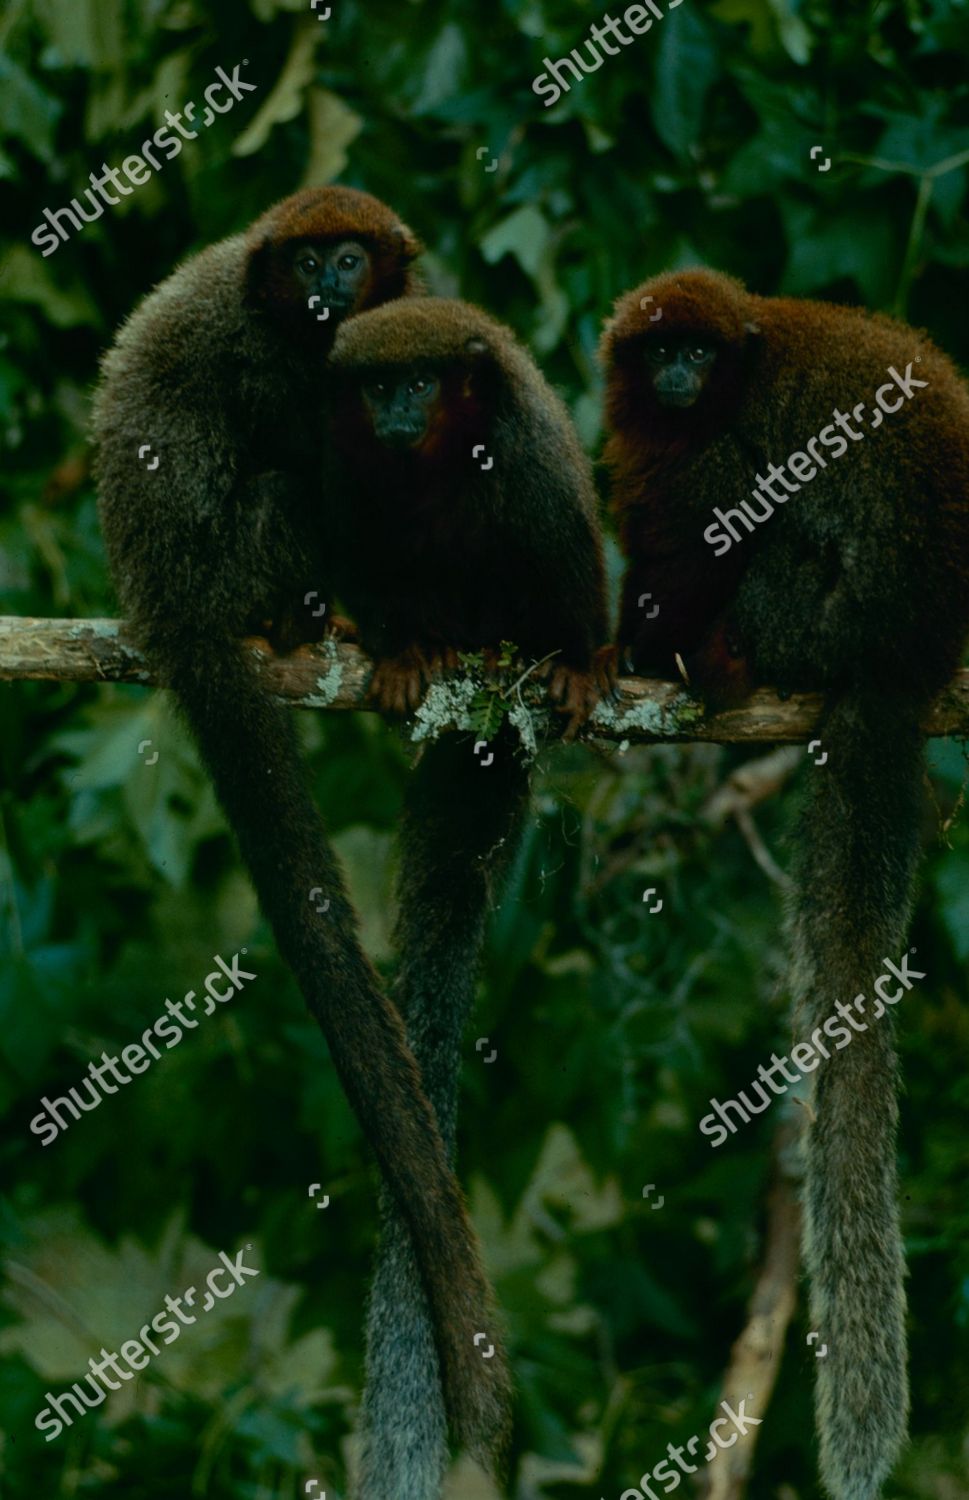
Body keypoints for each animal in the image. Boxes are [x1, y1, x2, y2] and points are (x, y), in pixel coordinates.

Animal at [91, 189, 512, 1469]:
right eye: (313, 261)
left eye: (350, 258)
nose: (331, 286)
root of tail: (171, 607)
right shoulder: (281, 356)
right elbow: (311, 442)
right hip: (238, 561)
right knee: (293, 486)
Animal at [600, 268, 969, 1500]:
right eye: (657, 350)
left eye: (695, 356)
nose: (674, 377)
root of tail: (906, 645)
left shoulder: (716, 439)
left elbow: (704, 516)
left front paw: (632, 648)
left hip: (812, 611)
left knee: (739, 526)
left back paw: (710, 663)